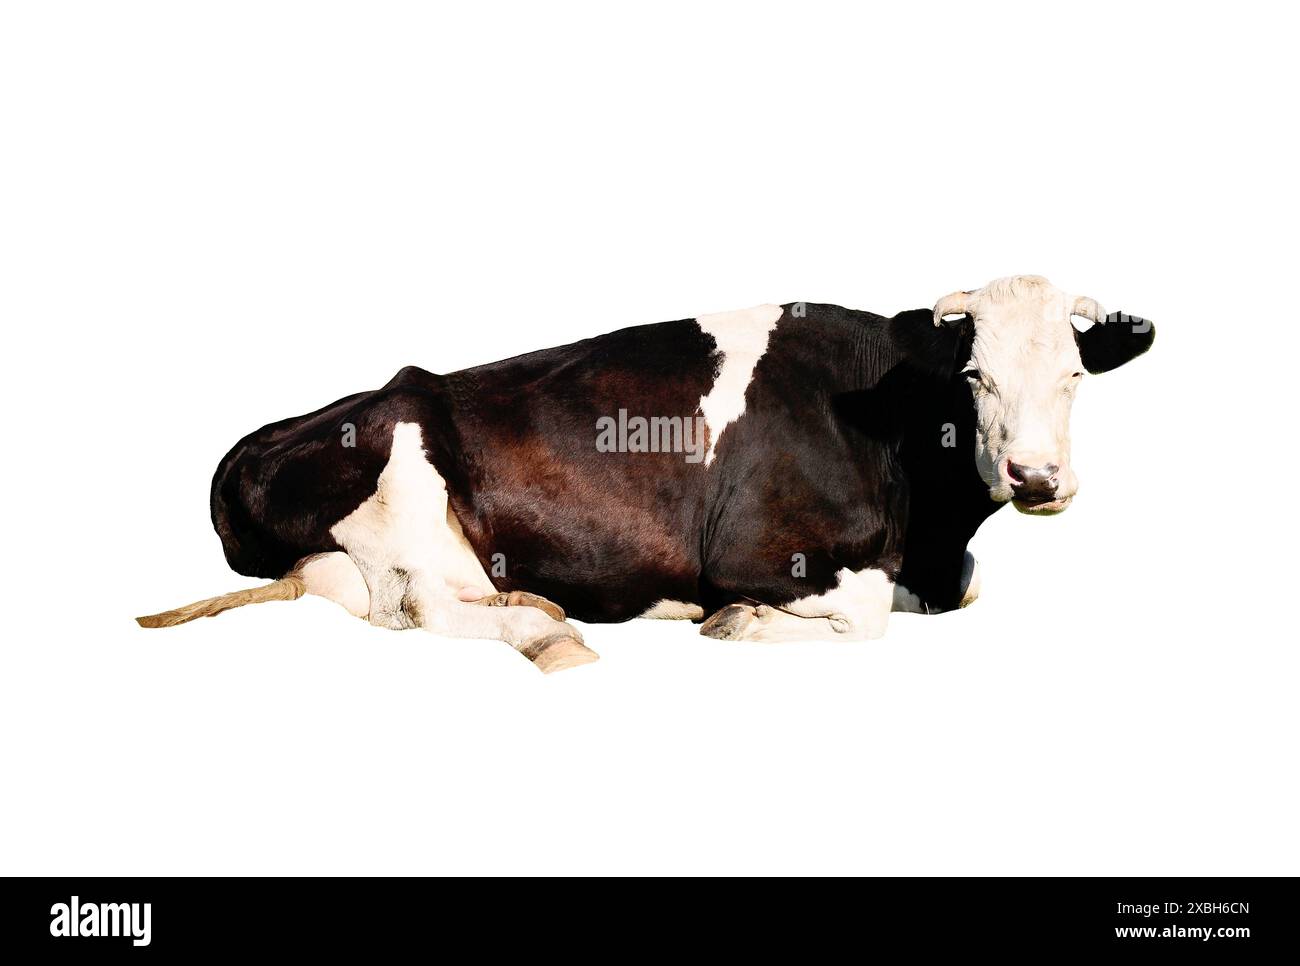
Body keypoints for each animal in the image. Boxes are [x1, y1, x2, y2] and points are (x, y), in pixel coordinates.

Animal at [137, 276, 1154, 672]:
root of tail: (252, 443)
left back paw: (537, 606)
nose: (1035, 476)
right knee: (416, 605)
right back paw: (551, 635)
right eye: (975, 375)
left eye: (1074, 375)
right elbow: (860, 616)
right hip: (403, 461)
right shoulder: (759, 551)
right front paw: (737, 623)